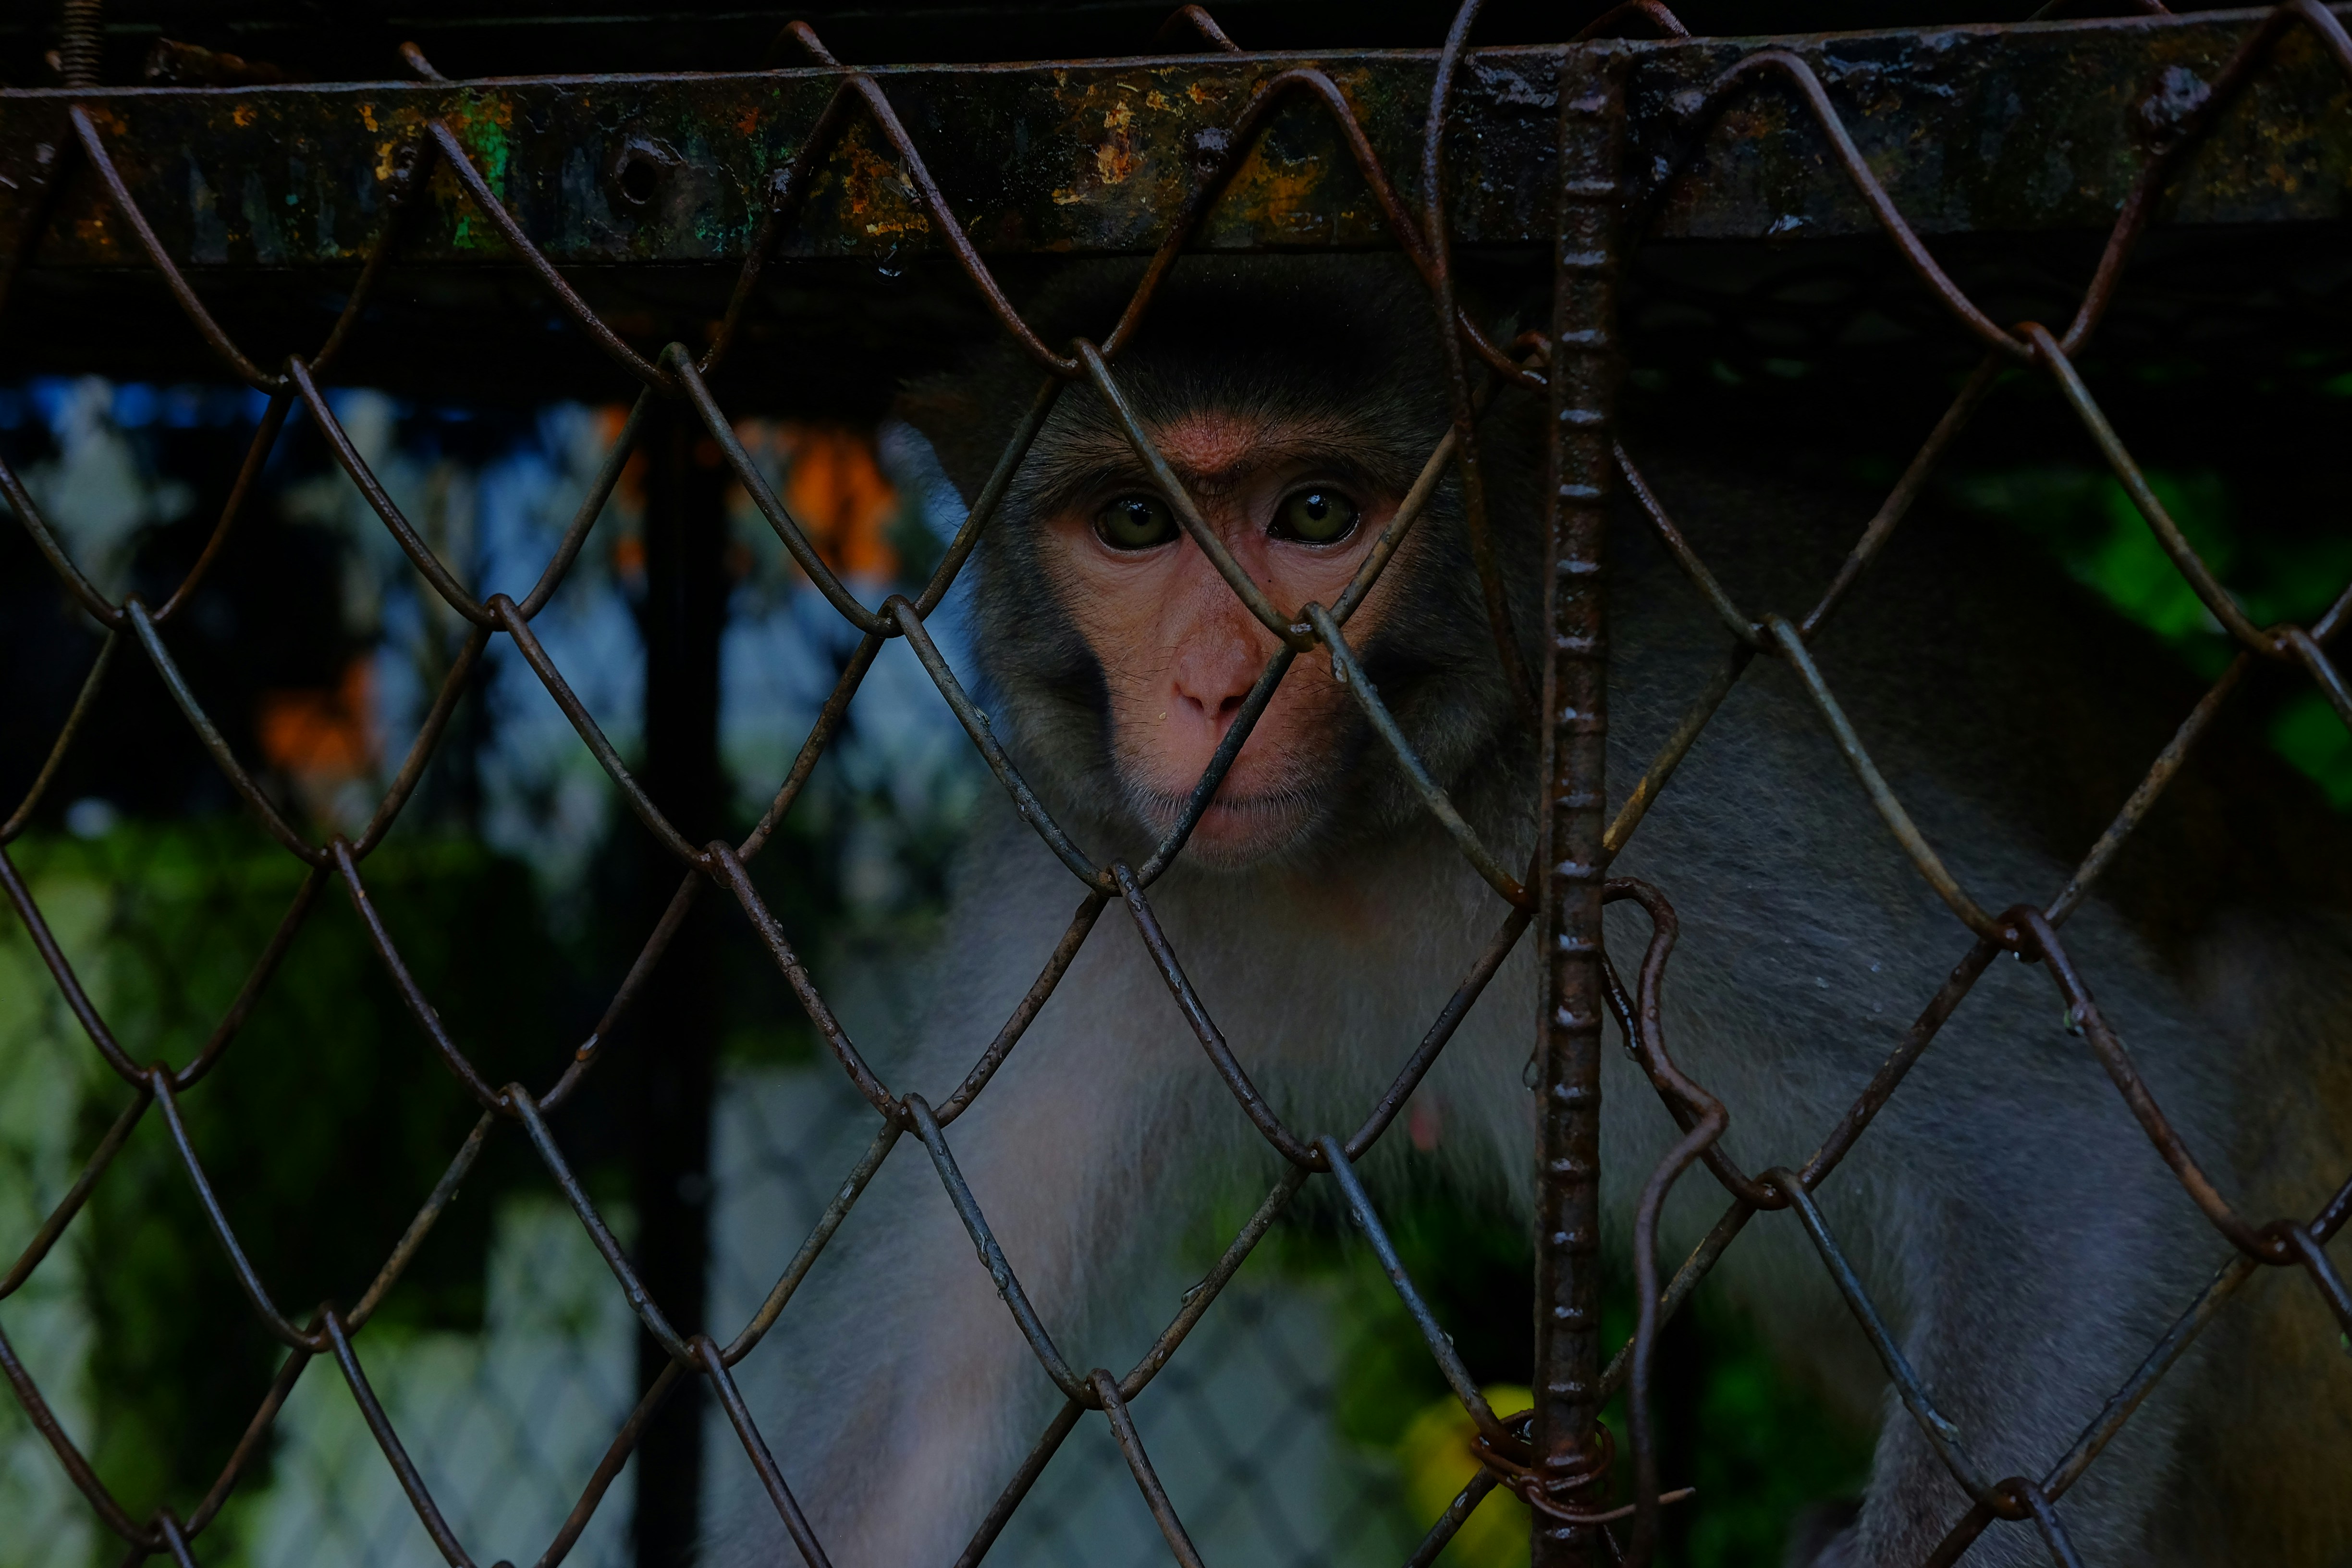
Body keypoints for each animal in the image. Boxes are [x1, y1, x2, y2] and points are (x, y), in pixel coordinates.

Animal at [711, 253, 2352, 1568]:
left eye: (1318, 514)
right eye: (1132, 523)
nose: (1219, 693)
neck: (1367, 834)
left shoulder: (1671, 788)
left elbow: (2063, 1142)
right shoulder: (1097, 864)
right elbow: (915, 1420)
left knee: (2266, 995)